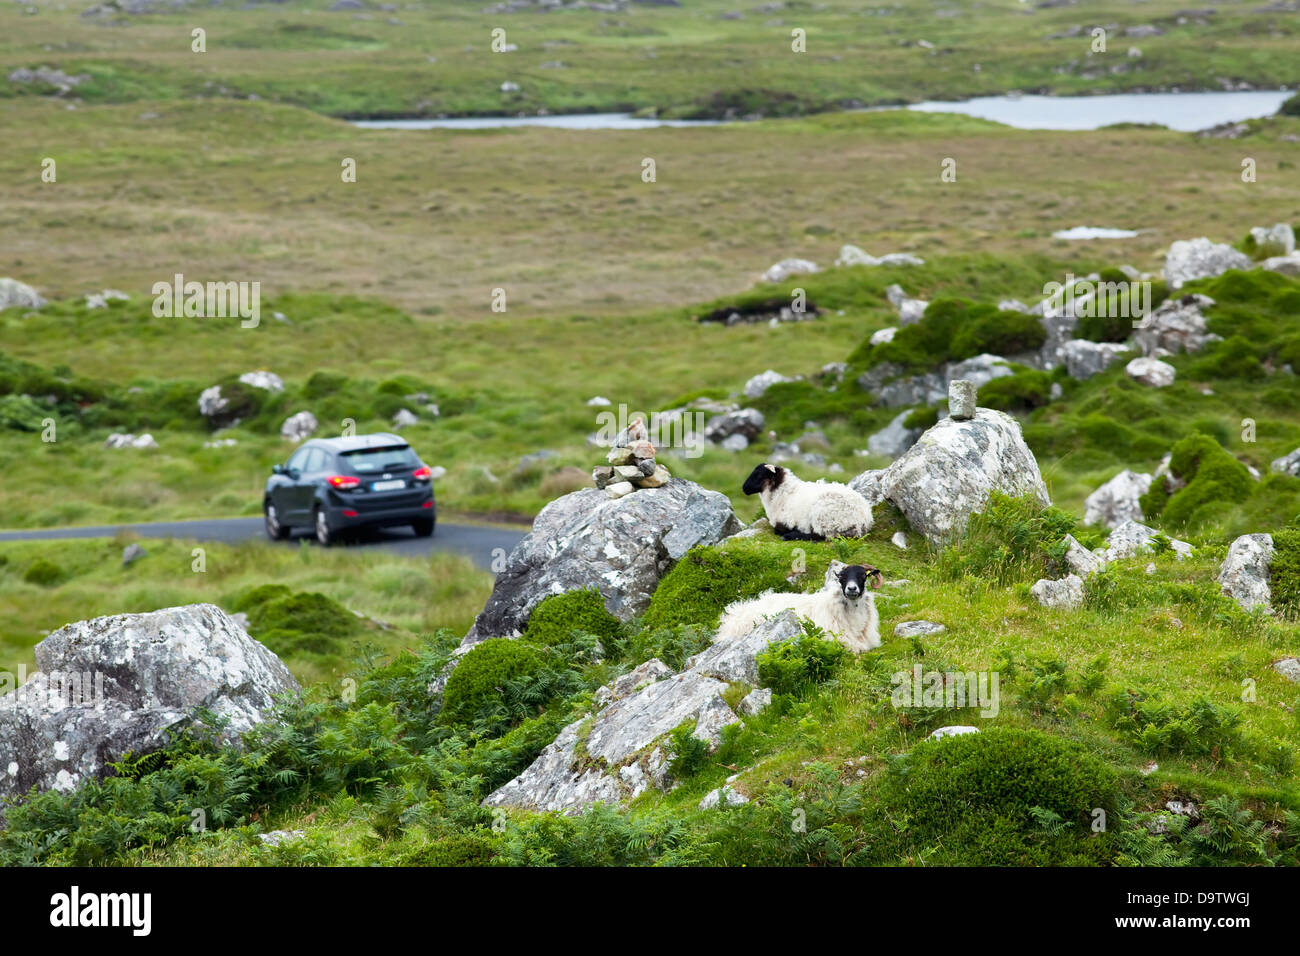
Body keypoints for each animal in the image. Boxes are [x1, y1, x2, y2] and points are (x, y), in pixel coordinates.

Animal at [742, 462, 875, 541]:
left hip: (824, 516)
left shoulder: (785, 521)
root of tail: (865, 517)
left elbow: (778, 530)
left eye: (759, 475)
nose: (744, 488)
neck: (784, 494)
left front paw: (791, 532)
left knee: (820, 536)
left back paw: (791, 536)